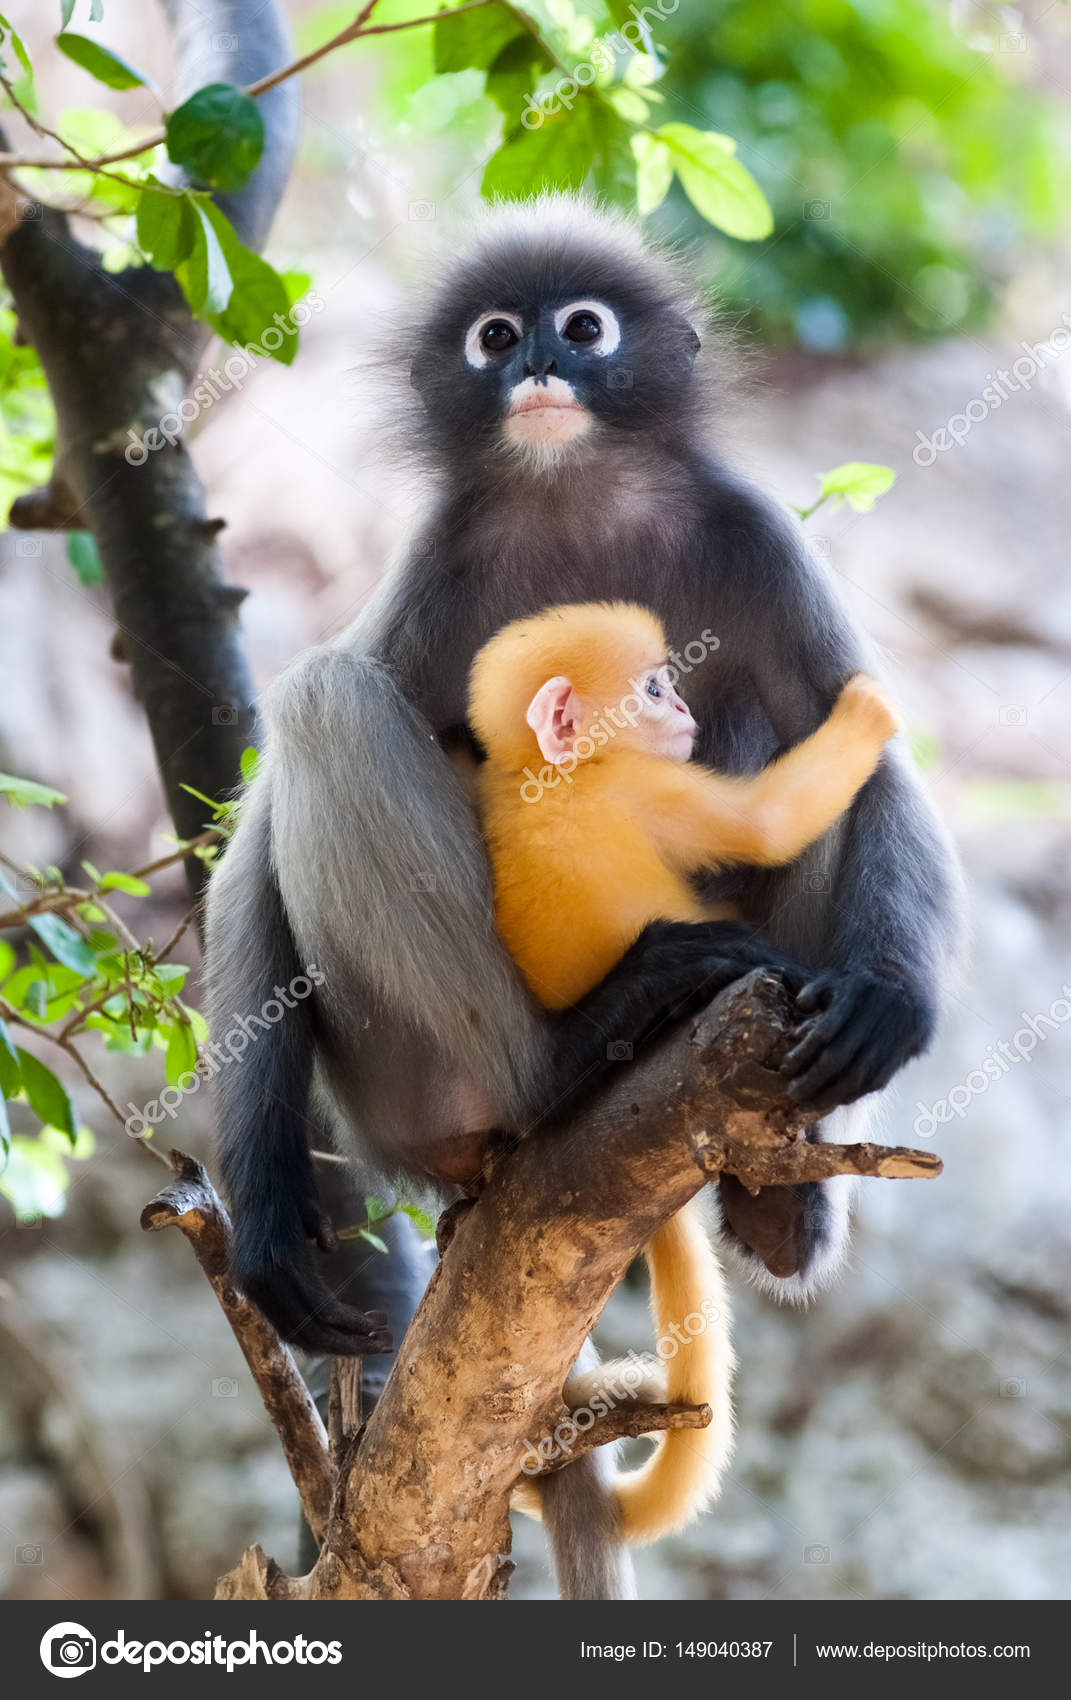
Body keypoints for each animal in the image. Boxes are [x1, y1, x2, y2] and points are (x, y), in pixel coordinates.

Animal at [467, 598, 900, 1548]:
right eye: (653, 688)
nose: (685, 712)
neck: (543, 772)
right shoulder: (641, 786)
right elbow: (766, 824)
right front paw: (870, 706)